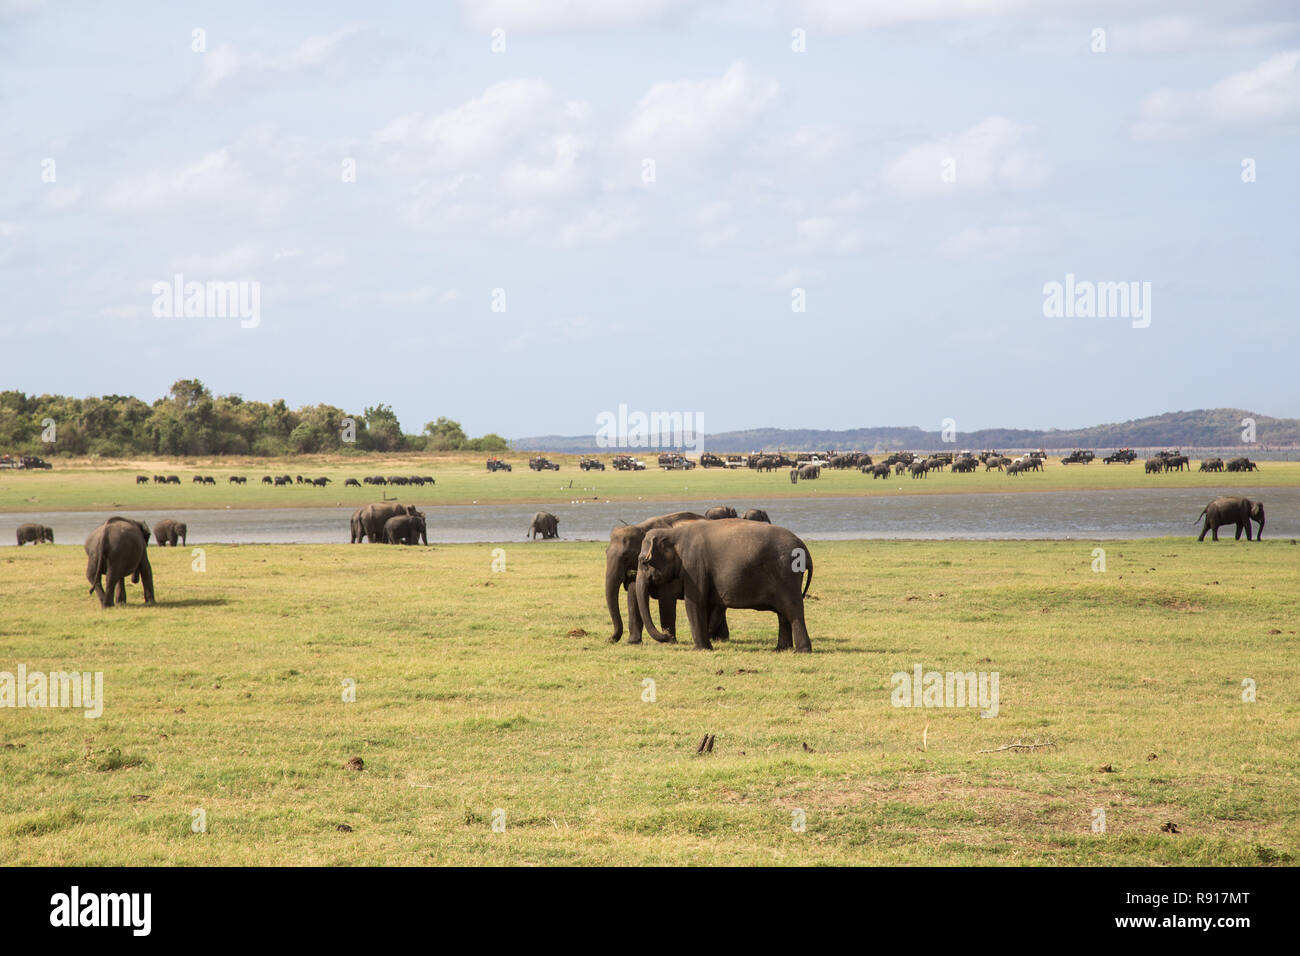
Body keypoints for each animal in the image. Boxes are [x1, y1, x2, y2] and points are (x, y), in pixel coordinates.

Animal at [605, 512, 728, 645]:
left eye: (626, 556)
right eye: (605, 552)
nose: (608, 639)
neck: (642, 526)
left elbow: (666, 597)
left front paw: (670, 640)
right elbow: (633, 595)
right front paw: (633, 642)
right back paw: (719, 638)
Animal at [636, 519, 814, 653]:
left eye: (643, 561)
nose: (667, 635)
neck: (674, 534)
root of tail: (804, 548)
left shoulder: (694, 566)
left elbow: (694, 603)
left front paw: (700, 649)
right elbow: (706, 604)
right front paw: (706, 646)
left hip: (786, 575)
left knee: (792, 610)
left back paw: (801, 651)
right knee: (783, 613)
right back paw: (780, 649)